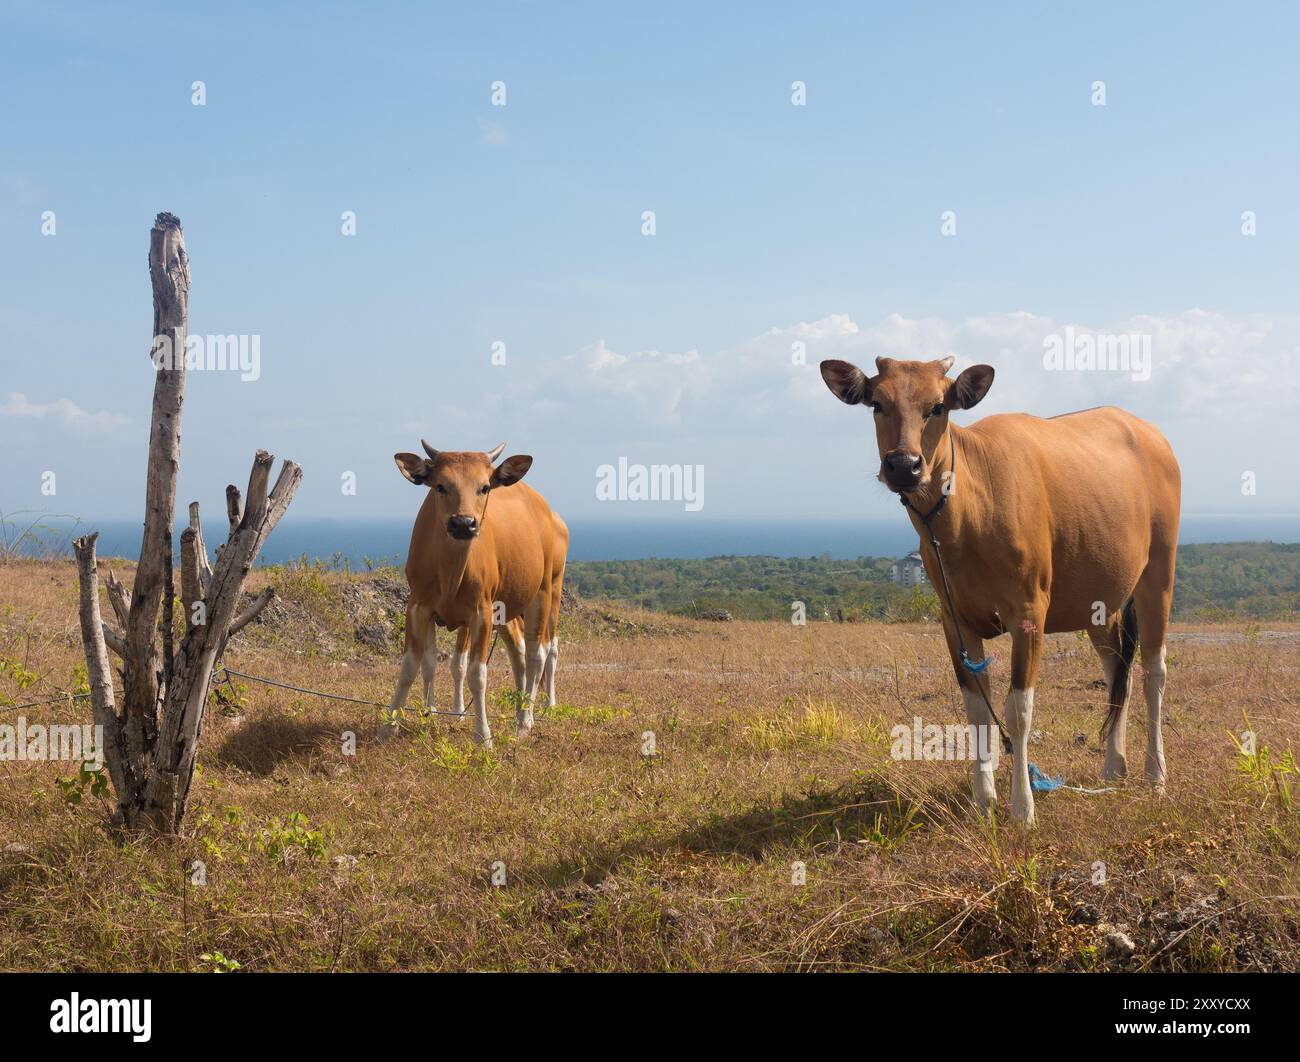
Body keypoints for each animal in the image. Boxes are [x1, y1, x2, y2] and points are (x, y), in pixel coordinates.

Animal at [384, 442, 569, 749]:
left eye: (484, 487)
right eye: (440, 486)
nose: (463, 523)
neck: (449, 572)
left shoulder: (480, 612)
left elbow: (476, 673)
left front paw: (482, 735)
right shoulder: (418, 606)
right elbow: (415, 664)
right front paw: (393, 725)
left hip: (547, 592)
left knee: (540, 653)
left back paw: (526, 720)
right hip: (508, 608)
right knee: (519, 654)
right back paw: (519, 710)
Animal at [820, 356, 1180, 827]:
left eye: (938, 406)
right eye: (877, 403)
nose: (904, 465)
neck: (970, 514)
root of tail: (1153, 436)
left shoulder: (1030, 611)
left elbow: (1018, 710)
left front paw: (1022, 807)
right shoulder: (953, 619)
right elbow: (977, 709)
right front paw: (983, 799)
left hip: (1159, 573)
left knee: (1154, 671)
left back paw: (1155, 775)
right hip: (1101, 601)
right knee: (1118, 667)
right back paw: (1113, 767)